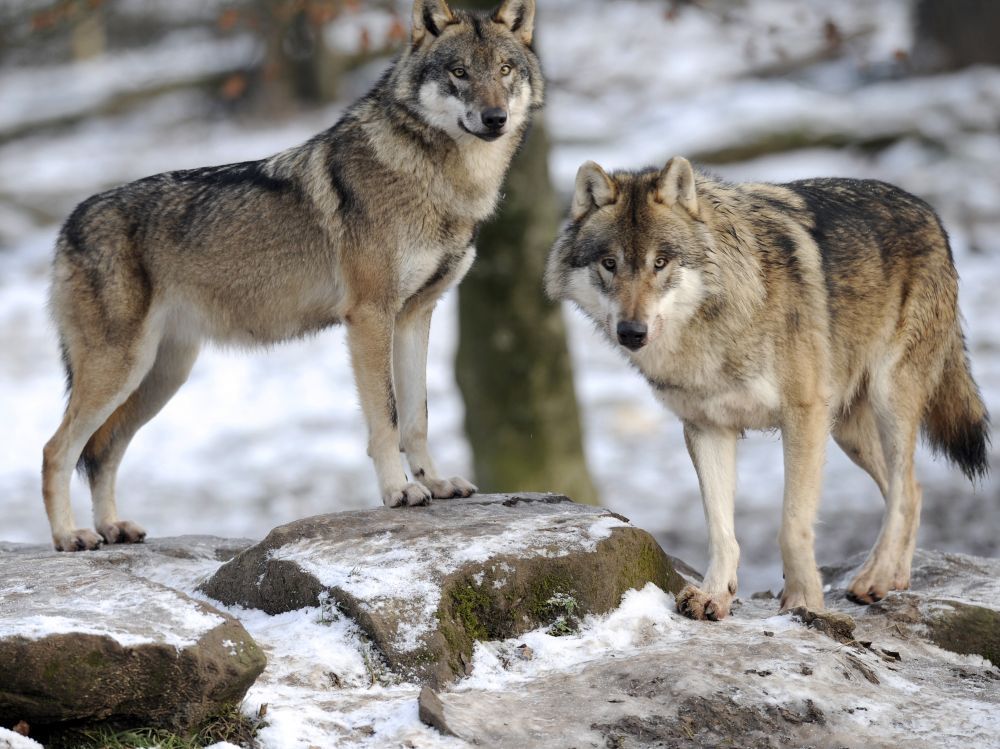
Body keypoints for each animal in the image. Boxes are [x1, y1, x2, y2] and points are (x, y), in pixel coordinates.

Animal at [41, 0, 542, 552]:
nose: (495, 118)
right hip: (120, 371)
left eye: (504, 70)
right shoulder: (370, 317)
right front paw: (399, 492)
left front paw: (435, 482)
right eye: (459, 72)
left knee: (104, 451)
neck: (441, 181)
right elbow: (387, 418)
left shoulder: (416, 316)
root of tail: (68, 223)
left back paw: (113, 527)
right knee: (56, 450)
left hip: (160, 377)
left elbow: (417, 417)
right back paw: (71, 536)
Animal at [546, 156, 989, 619]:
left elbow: (793, 525)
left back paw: (876, 577)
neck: (713, 327)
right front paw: (714, 595)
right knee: (913, 491)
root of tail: (929, 211)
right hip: (847, 430)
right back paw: (895, 578)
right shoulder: (708, 427)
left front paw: (804, 601)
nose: (632, 331)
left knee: (904, 490)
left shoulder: (803, 416)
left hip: (888, 401)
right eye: (609, 263)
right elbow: (720, 528)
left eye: (661, 262)